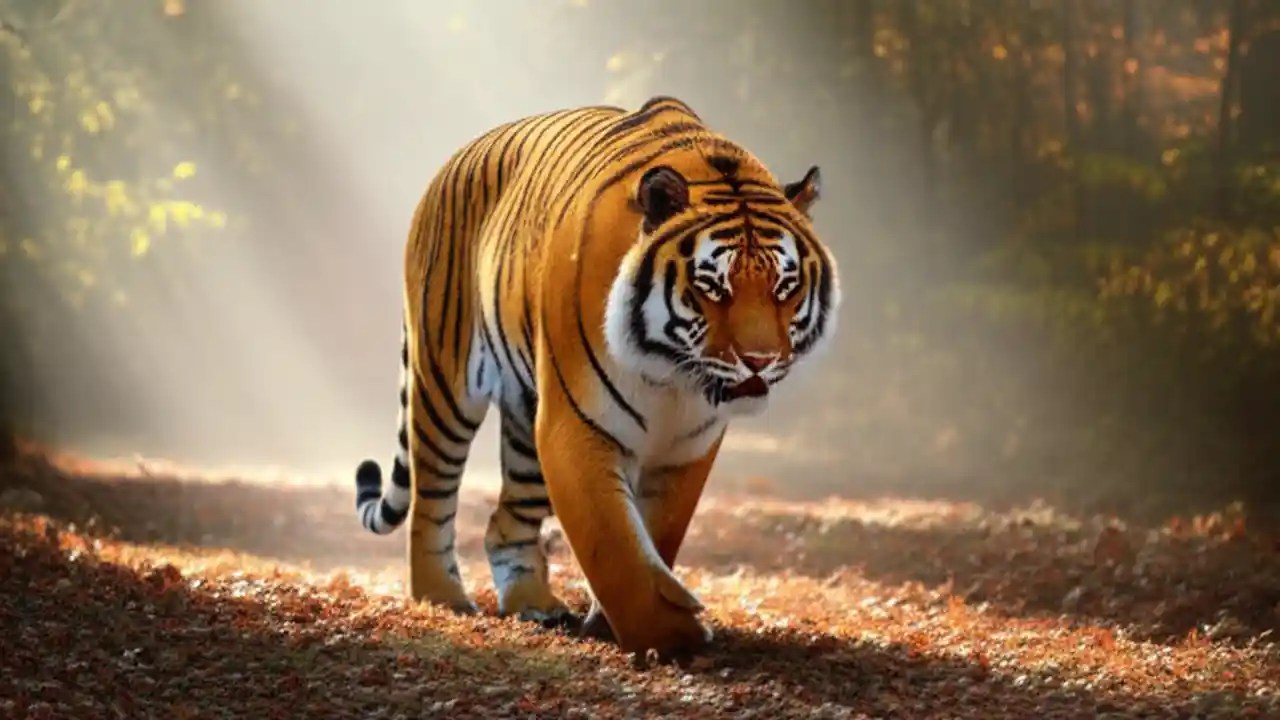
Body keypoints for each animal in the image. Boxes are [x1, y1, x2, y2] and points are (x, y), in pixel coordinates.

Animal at [353, 96, 840, 658]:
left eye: (785, 286)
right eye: (712, 286)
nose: (759, 360)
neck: (674, 375)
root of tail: (450, 162)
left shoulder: (688, 446)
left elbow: (657, 533)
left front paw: (614, 623)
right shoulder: (576, 425)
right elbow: (613, 542)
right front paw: (669, 637)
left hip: (526, 417)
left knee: (505, 521)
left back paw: (533, 604)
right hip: (445, 386)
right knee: (431, 499)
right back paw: (443, 598)